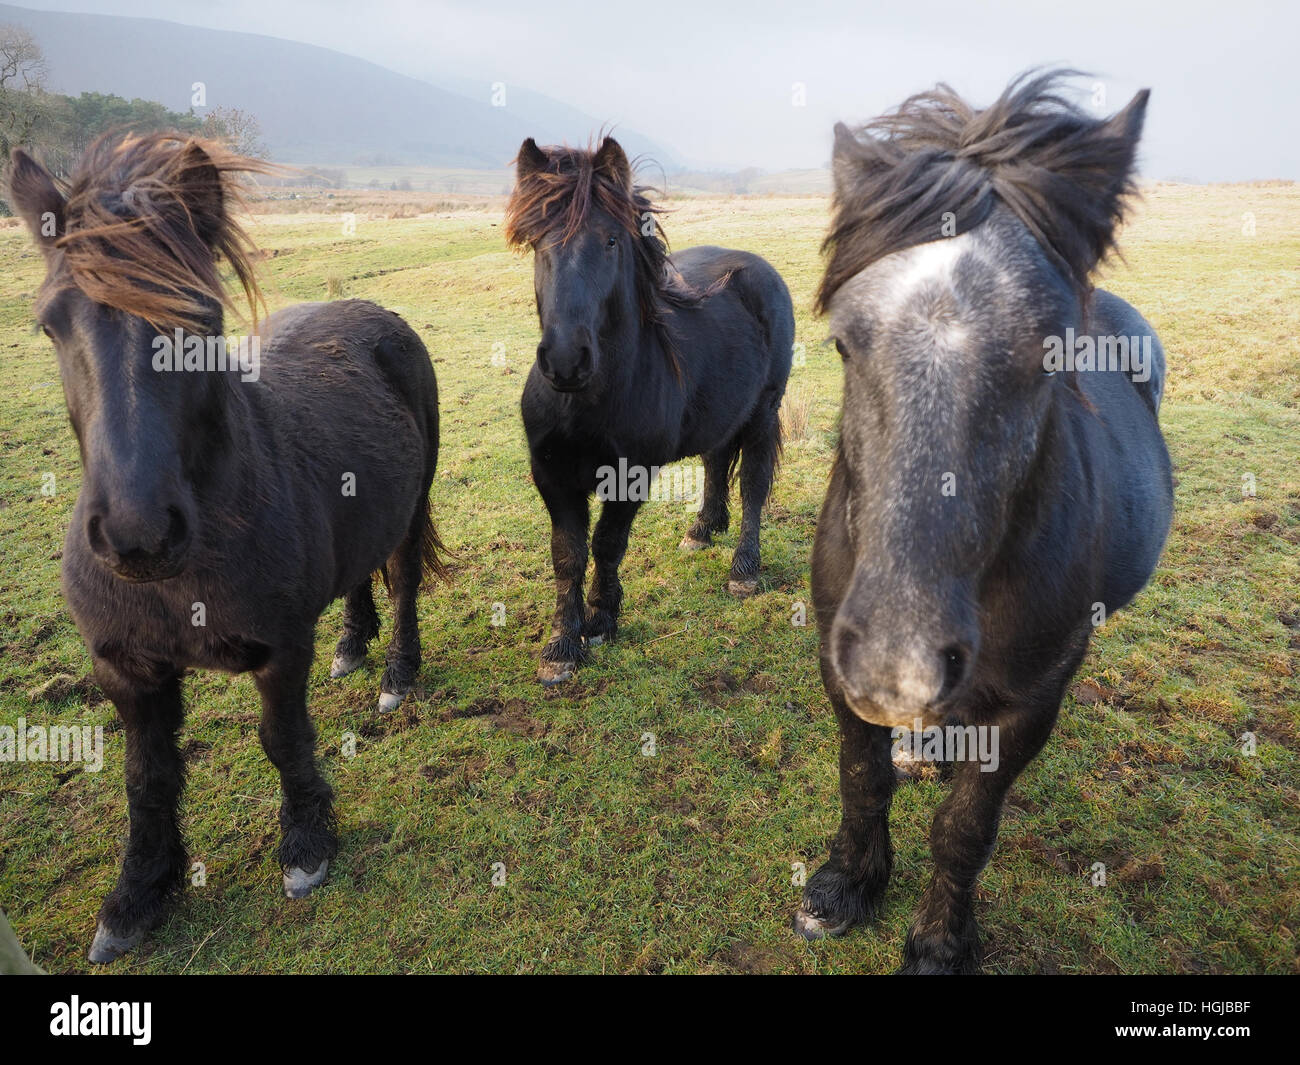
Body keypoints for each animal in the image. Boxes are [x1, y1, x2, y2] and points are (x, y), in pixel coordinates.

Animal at [7, 133, 446, 963]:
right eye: (50, 322)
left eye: (200, 316)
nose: (139, 533)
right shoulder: (125, 670)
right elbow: (146, 778)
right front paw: (137, 895)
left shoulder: (278, 650)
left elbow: (282, 738)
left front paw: (306, 846)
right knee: (358, 575)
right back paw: (353, 642)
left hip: (411, 510)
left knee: (403, 579)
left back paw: (396, 672)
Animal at [506, 136, 795, 684]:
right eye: (535, 242)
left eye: (611, 242)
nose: (566, 359)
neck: (586, 400)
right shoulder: (551, 474)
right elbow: (567, 555)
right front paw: (561, 646)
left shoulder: (631, 473)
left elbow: (607, 544)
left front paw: (600, 619)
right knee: (715, 462)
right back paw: (701, 530)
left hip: (762, 414)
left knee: (753, 484)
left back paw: (744, 570)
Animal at [793, 72, 1174, 973]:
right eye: (843, 343)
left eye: (1053, 353)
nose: (896, 664)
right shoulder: (835, 659)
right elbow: (861, 779)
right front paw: (846, 883)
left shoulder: (1033, 700)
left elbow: (966, 829)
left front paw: (938, 940)